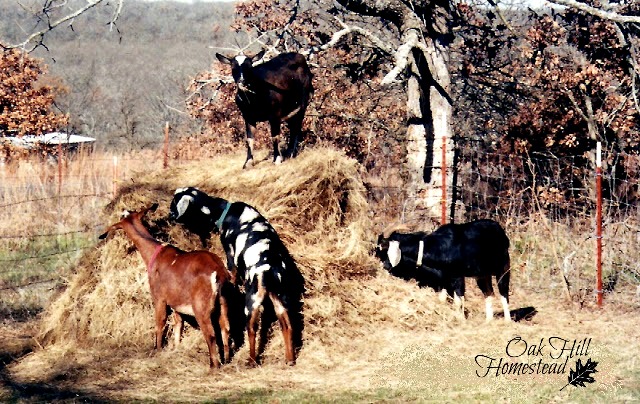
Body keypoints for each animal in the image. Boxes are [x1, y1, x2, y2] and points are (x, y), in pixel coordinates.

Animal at [98, 203, 232, 368]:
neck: (154, 254)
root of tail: (219, 271)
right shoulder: (175, 303)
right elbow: (178, 325)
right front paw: (176, 349)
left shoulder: (159, 298)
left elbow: (160, 323)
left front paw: (158, 350)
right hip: (223, 302)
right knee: (225, 328)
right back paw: (226, 360)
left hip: (201, 307)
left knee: (211, 334)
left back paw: (214, 366)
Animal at [169, 186, 304, 366]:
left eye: (175, 200)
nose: (170, 215)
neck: (223, 211)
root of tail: (267, 272)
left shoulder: (230, 256)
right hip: (281, 298)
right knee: (287, 325)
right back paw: (289, 359)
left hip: (252, 300)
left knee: (252, 328)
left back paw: (251, 360)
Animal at [376, 219, 511, 322]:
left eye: (382, 248)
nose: (384, 266)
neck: (439, 248)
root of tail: (500, 230)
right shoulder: (443, 279)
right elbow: (442, 299)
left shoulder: (457, 276)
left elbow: (458, 300)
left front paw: (460, 320)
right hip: (482, 275)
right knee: (489, 293)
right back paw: (488, 320)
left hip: (503, 267)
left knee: (503, 292)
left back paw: (507, 320)